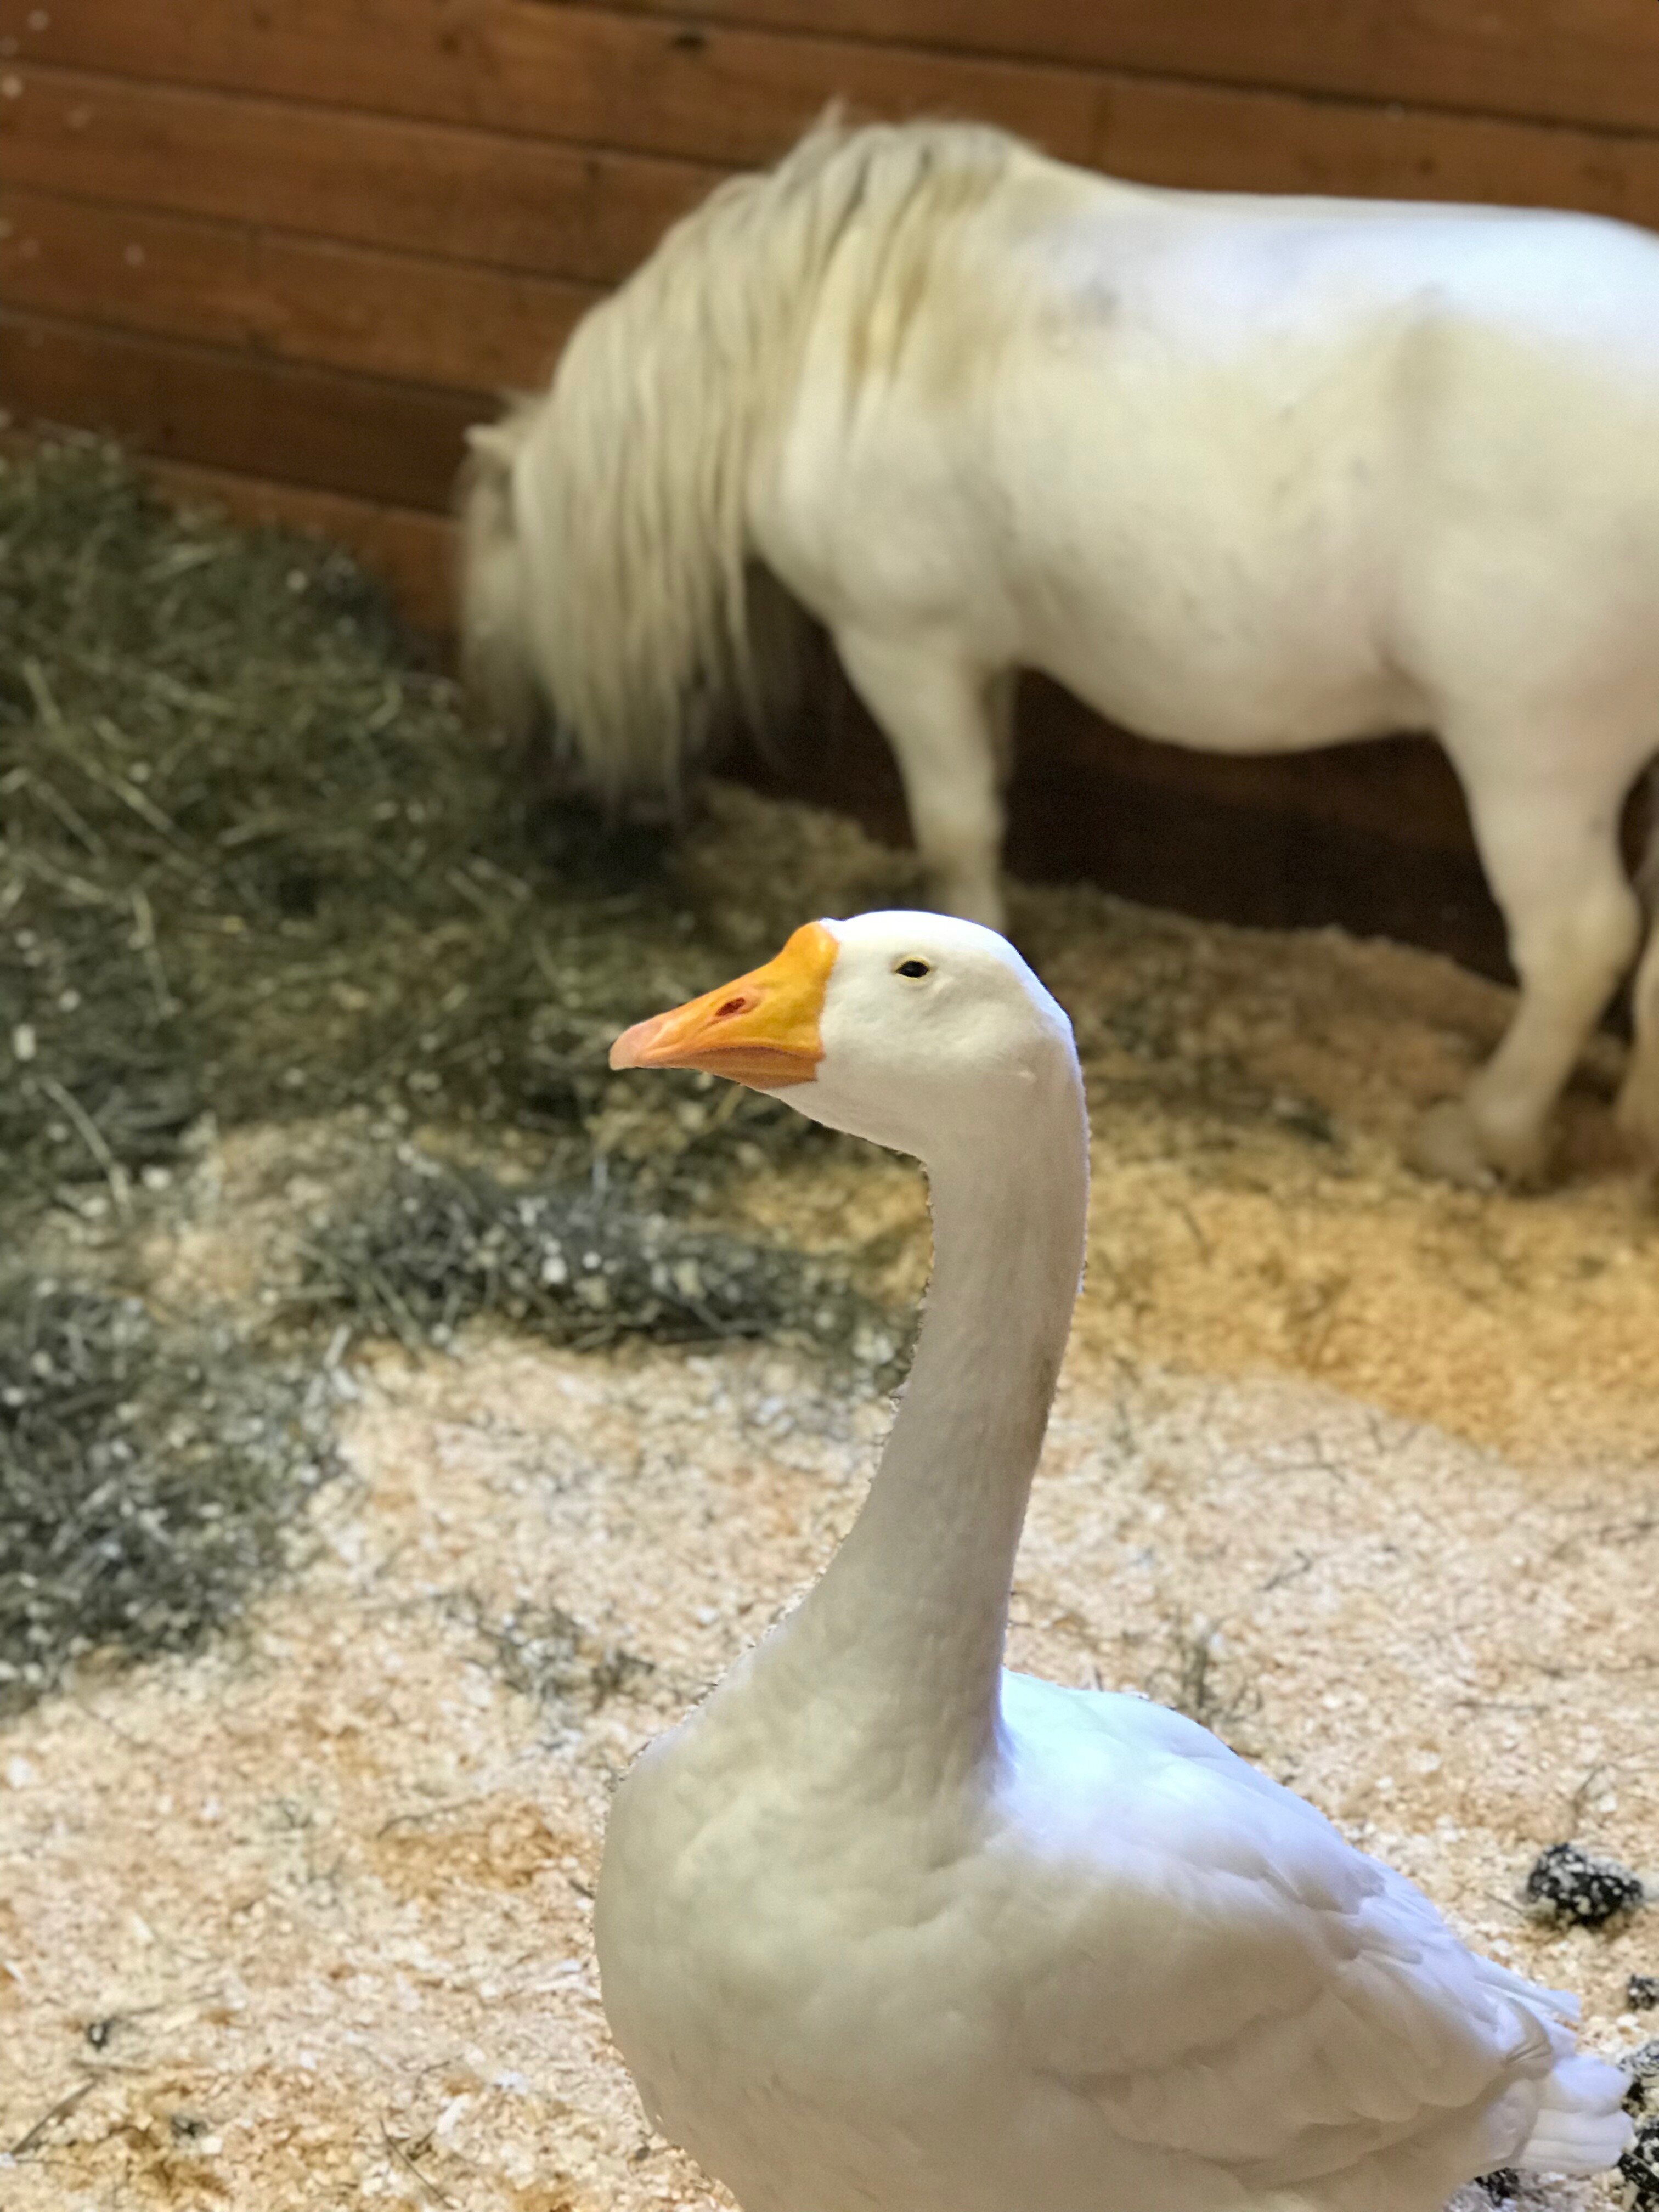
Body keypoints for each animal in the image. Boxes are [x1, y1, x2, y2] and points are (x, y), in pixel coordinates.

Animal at [459, 115, 1659, 1187]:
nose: (529, 760)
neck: (824, 329)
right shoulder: (978, 659)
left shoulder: (905, 648)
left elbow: (954, 822)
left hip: (1529, 754)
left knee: (1577, 945)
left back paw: (1488, 1133)